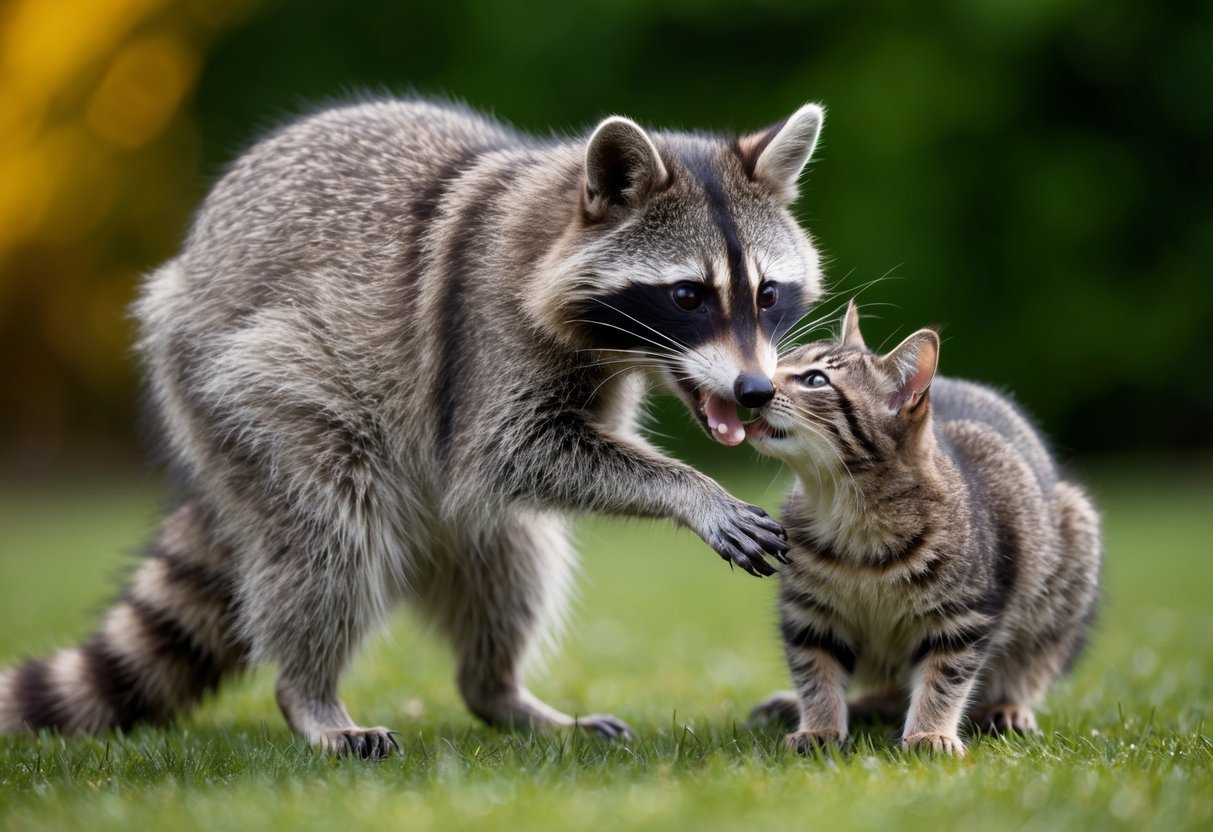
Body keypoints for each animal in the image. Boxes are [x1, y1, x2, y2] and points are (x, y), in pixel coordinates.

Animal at [0, 99, 828, 756]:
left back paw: (497, 689)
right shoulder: (488, 331)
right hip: (234, 381)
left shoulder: (600, 375)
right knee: (327, 530)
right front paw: (689, 491)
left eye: (766, 294)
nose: (754, 391)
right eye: (688, 296)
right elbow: (509, 452)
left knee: (510, 554)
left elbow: (534, 470)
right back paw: (308, 694)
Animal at [747, 302, 1101, 755]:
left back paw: (1007, 708)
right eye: (782, 360)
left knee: (1024, 672)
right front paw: (821, 727)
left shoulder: (961, 617)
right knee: (886, 695)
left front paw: (930, 733)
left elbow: (943, 679)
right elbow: (816, 673)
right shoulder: (810, 613)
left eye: (815, 380)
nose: (753, 386)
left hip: (1063, 581)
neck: (847, 507)